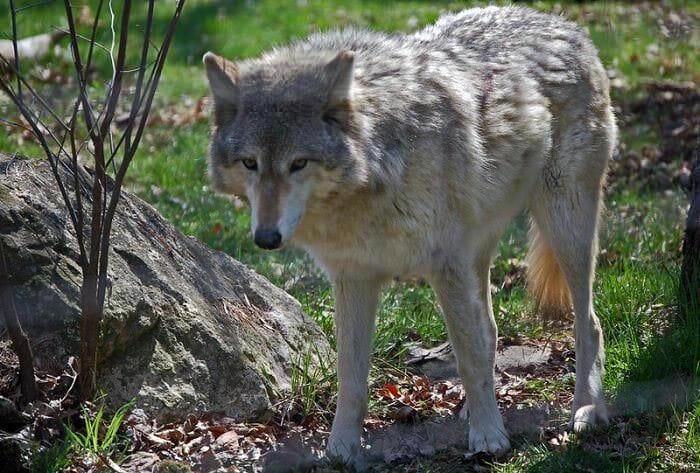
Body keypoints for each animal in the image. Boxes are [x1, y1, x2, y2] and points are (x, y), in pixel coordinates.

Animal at [203, 5, 616, 465]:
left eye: (298, 164)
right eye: (250, 163)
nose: (266, 237)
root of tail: (563, 24)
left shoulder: (445, 266)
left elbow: (469, 357)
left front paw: (489, 437)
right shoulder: (354, 278)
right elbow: (351, 376)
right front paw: (341, 448)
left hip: (564, 228)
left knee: (588, 323)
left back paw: (586, 408)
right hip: (478, 248)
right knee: (490, 328)